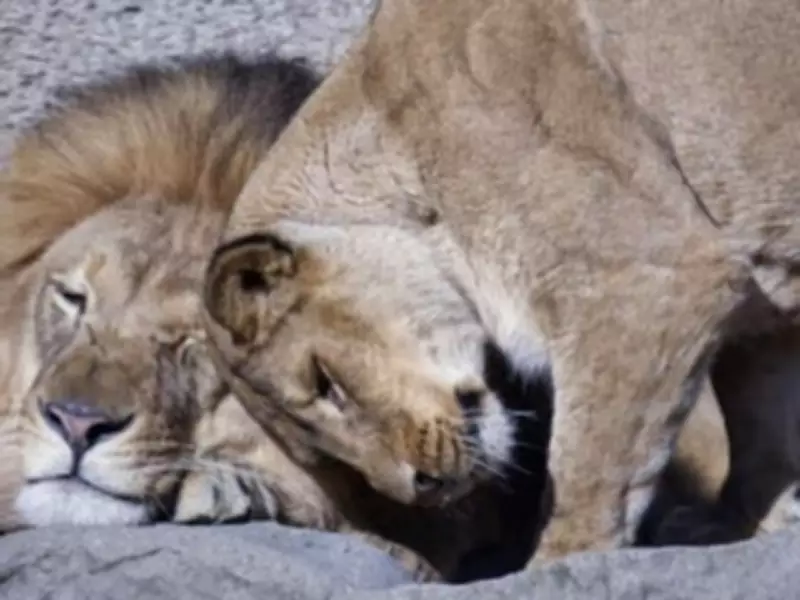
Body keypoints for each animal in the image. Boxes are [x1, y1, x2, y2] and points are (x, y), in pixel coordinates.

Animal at [201, 0, 800, 563]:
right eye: (321, 455)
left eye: (327, 382)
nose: (425, 487)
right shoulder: (761, 295)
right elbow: (762, 422)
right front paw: (743, 526)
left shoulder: (650, 277)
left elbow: (591, 464)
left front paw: (558, 562)